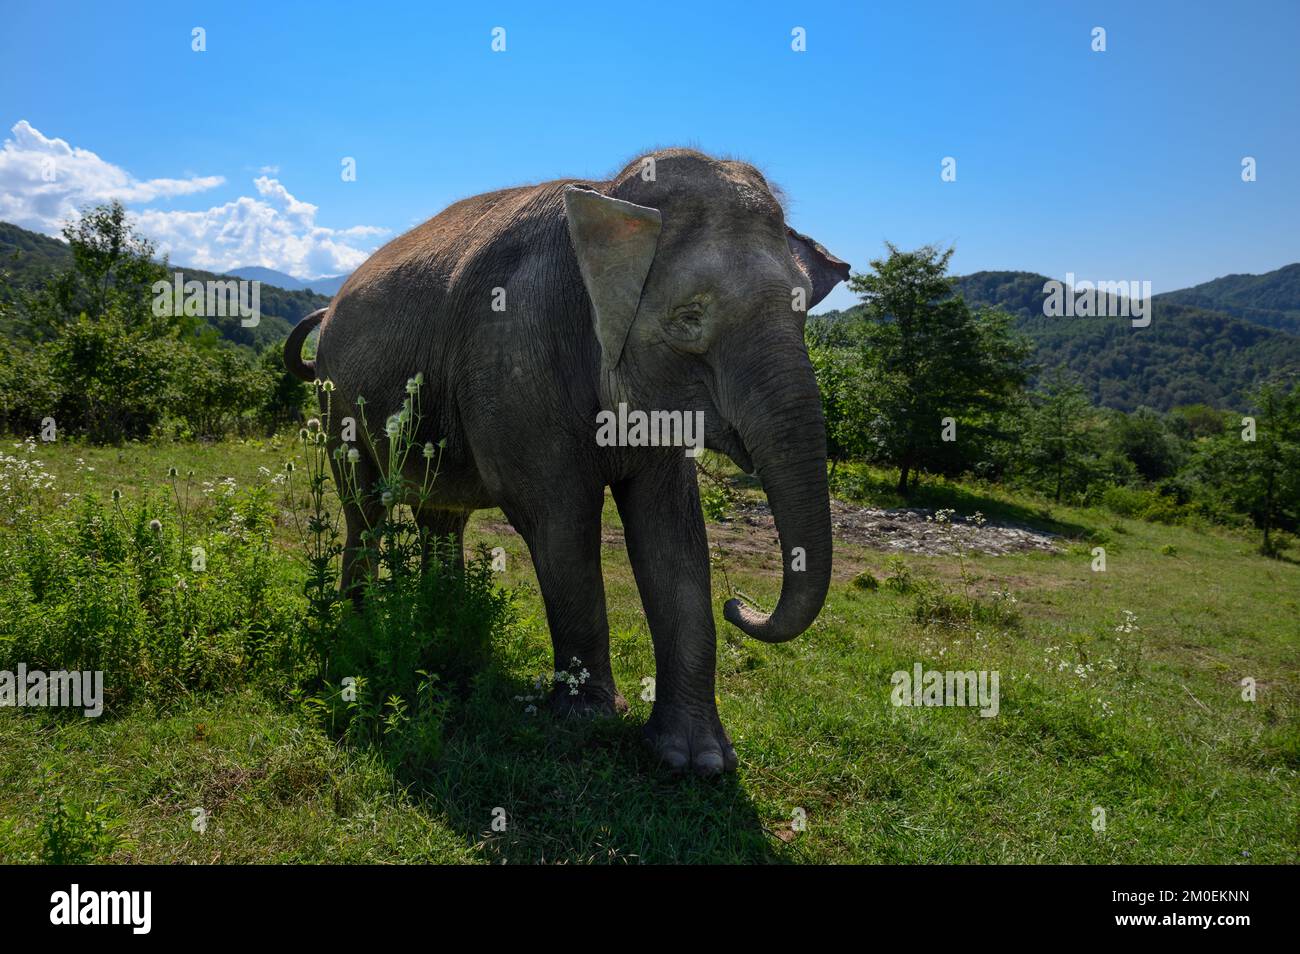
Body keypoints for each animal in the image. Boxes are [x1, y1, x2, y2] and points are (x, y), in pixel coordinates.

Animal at [284, 148, 849, 774]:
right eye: (688, 318)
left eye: (804, 314)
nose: (739, 605)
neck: (609, 198)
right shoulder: (515, 351)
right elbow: (559, 520)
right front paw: (588, 719)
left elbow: (672, 534)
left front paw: (695, 759)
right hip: (339, 399)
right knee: (363, 505)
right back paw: (361, 621)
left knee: (440, 515)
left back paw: (449, 614)